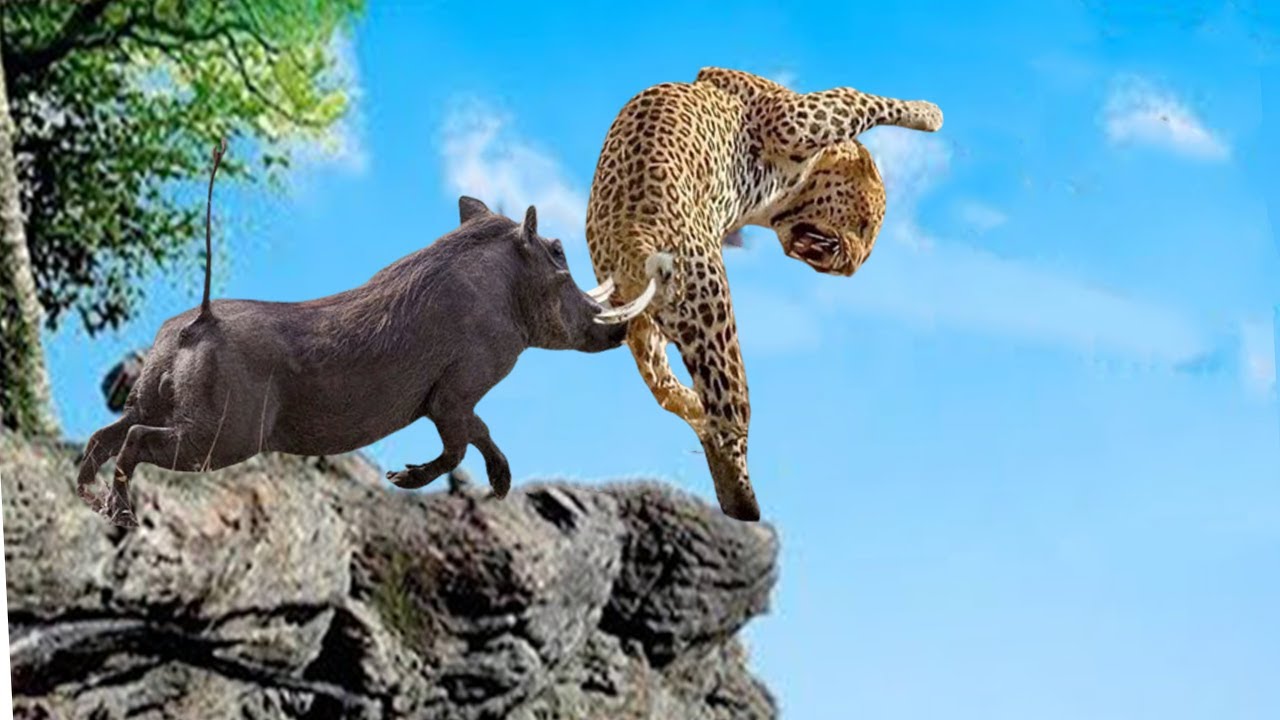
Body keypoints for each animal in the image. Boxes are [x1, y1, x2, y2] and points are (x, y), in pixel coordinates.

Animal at [583, 67, 942, 521]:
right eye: (866, 225)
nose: (850, 268)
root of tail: (632, 248)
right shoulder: (797, 117)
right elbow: (862, 98)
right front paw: (929, 113)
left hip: (643, 328)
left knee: (664, 387)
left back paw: (692, 409)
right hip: (713, 317)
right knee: (728, 419)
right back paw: (744, 507)